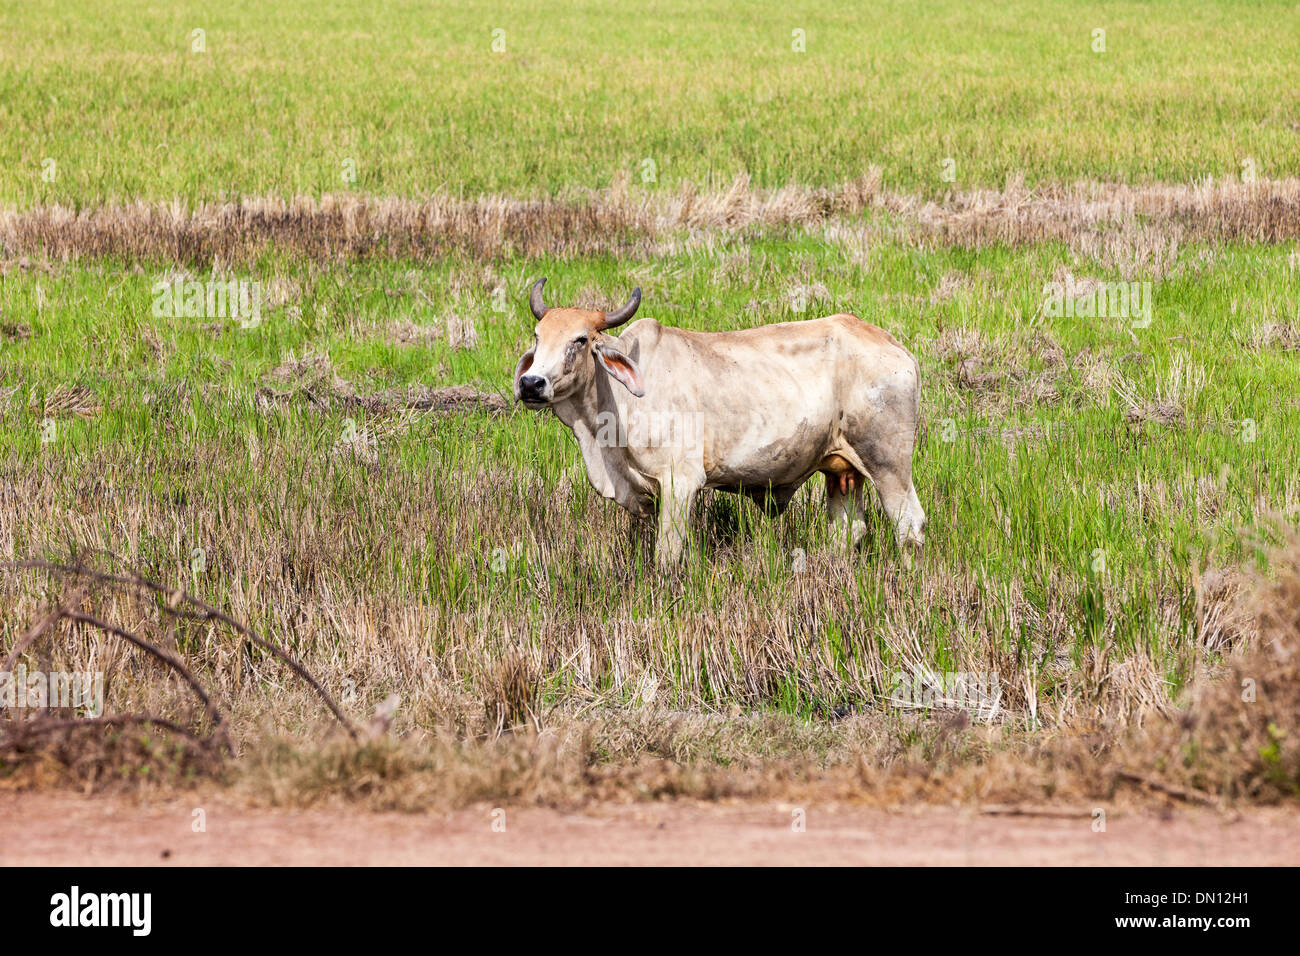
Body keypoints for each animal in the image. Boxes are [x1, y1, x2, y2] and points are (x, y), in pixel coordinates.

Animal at [513, 278, 925, 570]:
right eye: (537, 336)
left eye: (580, 340)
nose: (531, 383)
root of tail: (895, 346)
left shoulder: (681, 481)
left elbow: (667, 554)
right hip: (842, 472)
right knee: (848, 530)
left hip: (888, 464)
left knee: (909, 526)